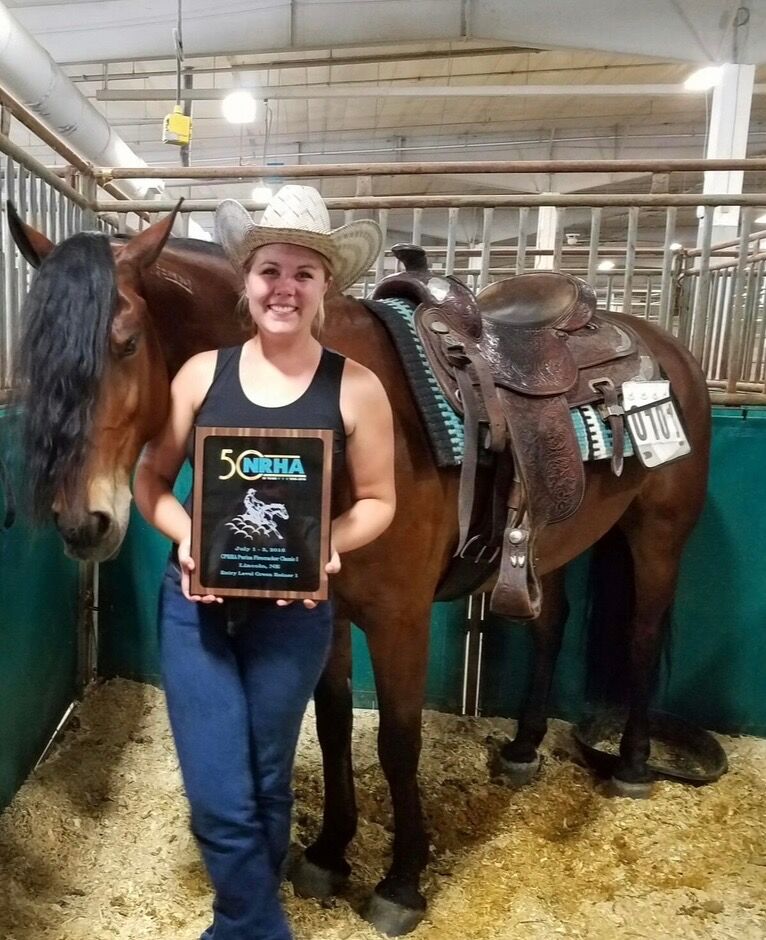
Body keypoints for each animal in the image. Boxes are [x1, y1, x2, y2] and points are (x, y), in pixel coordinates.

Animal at [9, 204, 711, 936]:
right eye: (35, 361)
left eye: (123, 344)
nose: (82, 524)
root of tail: (665, 347)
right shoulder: (331, 610)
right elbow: (334, 723)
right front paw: (329, 852)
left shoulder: (399, 619)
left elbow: (399, 743)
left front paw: (402, 882)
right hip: (554, 543)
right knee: (552, 626)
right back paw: (523, 749)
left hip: (659, 535)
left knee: (643, 637)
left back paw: (633, 764)